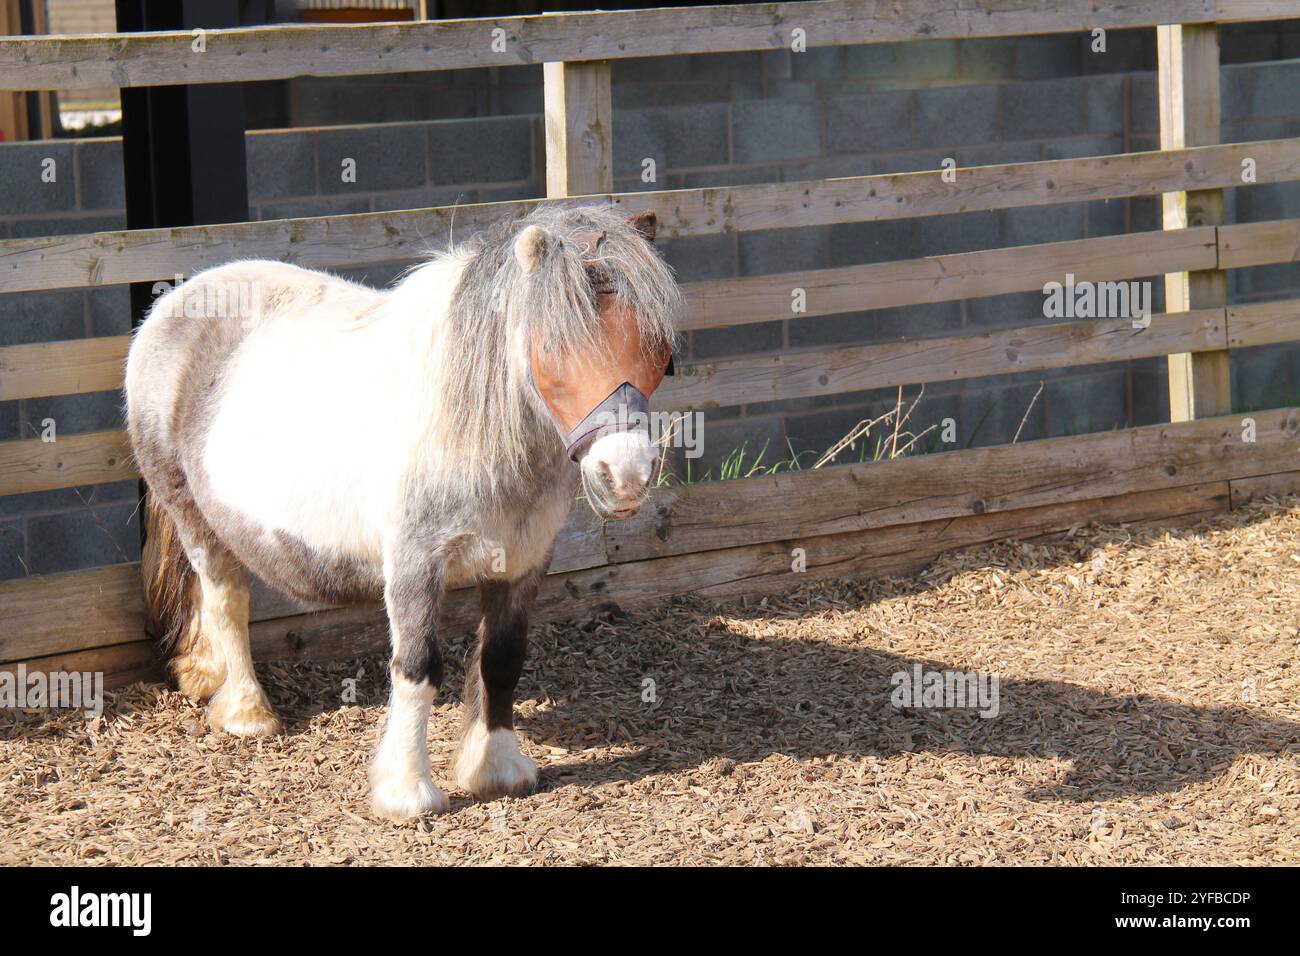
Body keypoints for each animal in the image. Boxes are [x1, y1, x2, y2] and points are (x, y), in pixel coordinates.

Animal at [124, 205, 682, 819]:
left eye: (657, 349)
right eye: (554, 348)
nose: (625, 476)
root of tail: (178, 300)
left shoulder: (522, 559)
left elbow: (502, 659)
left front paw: (497, 770)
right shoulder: (415, 564)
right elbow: (417, 669)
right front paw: (408, 791)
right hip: (190, 512)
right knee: (225, 596)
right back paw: (248, 712)